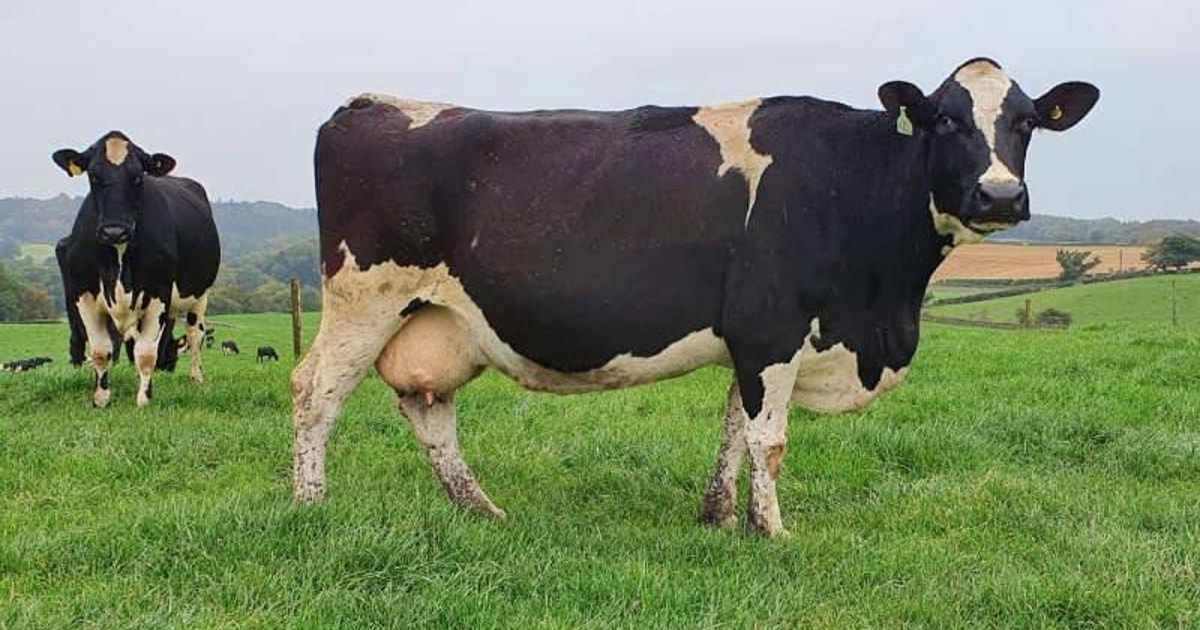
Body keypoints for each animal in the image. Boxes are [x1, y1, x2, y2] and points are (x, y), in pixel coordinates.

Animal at [53, 131, 220, 407]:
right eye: (93, 175)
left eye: (138, 176)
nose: (114, 230)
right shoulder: (83, 295)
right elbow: (100, 351)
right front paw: (101, 398)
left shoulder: (158, 295)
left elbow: (146, 353)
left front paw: (143, 398)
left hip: (200, 296)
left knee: (195, 335)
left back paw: (195, 378)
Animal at [291, 58, 1098, 536]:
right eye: (947, 120)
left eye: (1027, 123)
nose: (1000, 196)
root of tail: (369, 102)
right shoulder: (772, 328)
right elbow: (769, 439)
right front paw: (773, 532)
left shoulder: (755, 337)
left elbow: (735, 428)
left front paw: (720, 516)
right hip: (365, 299)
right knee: (314, 392)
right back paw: (309, 507)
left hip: (433, 318)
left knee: (428, 411)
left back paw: (483, 510)